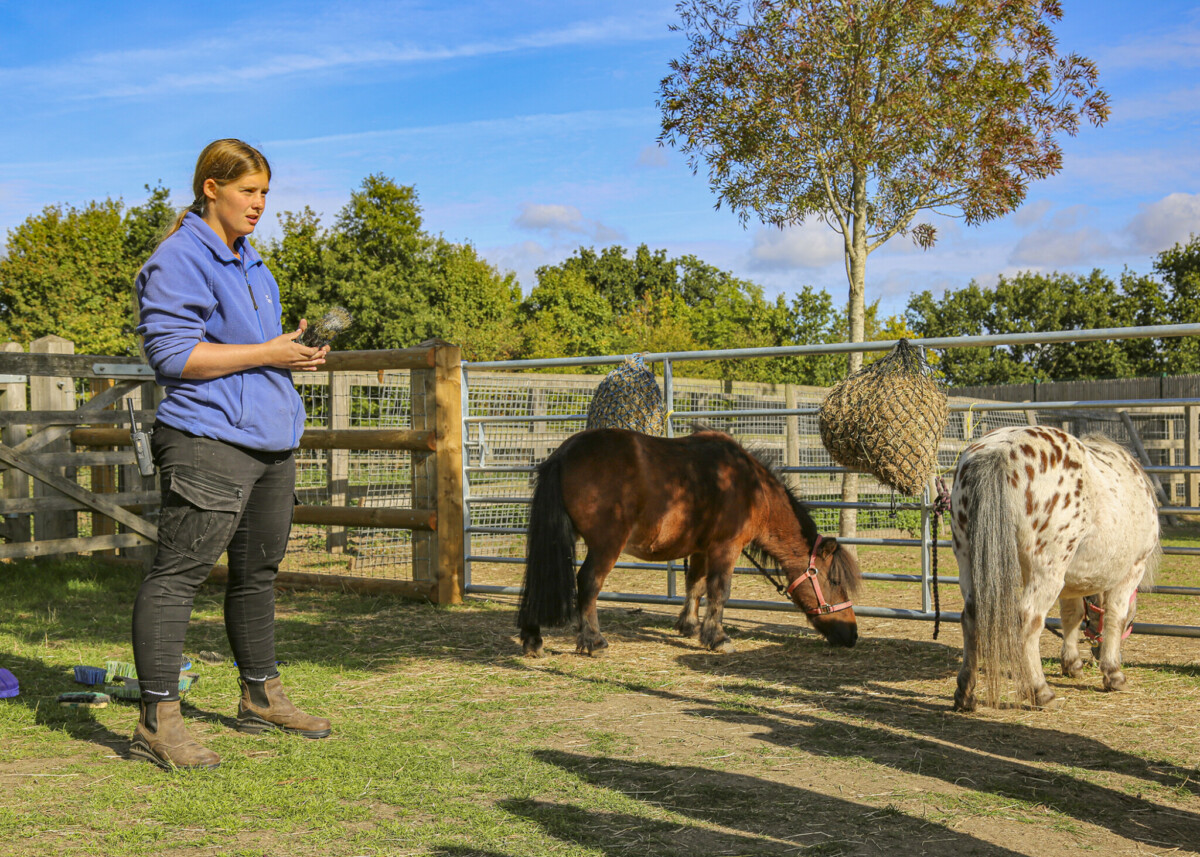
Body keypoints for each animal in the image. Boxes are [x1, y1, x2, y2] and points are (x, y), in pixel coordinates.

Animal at [516, 427, 862, 657]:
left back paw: (533, 639)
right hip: (606, 546)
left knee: (539, 578)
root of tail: (564, 454)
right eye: (834, 581)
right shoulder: (725, 547)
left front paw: (689, 625)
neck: (753, 489)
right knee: (588, 583)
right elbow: (719, 591)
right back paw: (593, 641)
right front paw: (717, 637)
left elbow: (694, 585)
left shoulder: (700, 549)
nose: (852, 634)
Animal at [949, 425, 1161, 711]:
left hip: (969, 561)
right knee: (1028, 620)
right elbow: (1115, 615)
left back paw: (965, 694)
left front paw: (1072, 663)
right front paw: (1113, 673)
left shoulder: (1070, 581)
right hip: (1045, 572)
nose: (1095, 652)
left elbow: (1072, 615)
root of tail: (999, 451)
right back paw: (1040, 691)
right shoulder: (1130, 572)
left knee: (971, 617)